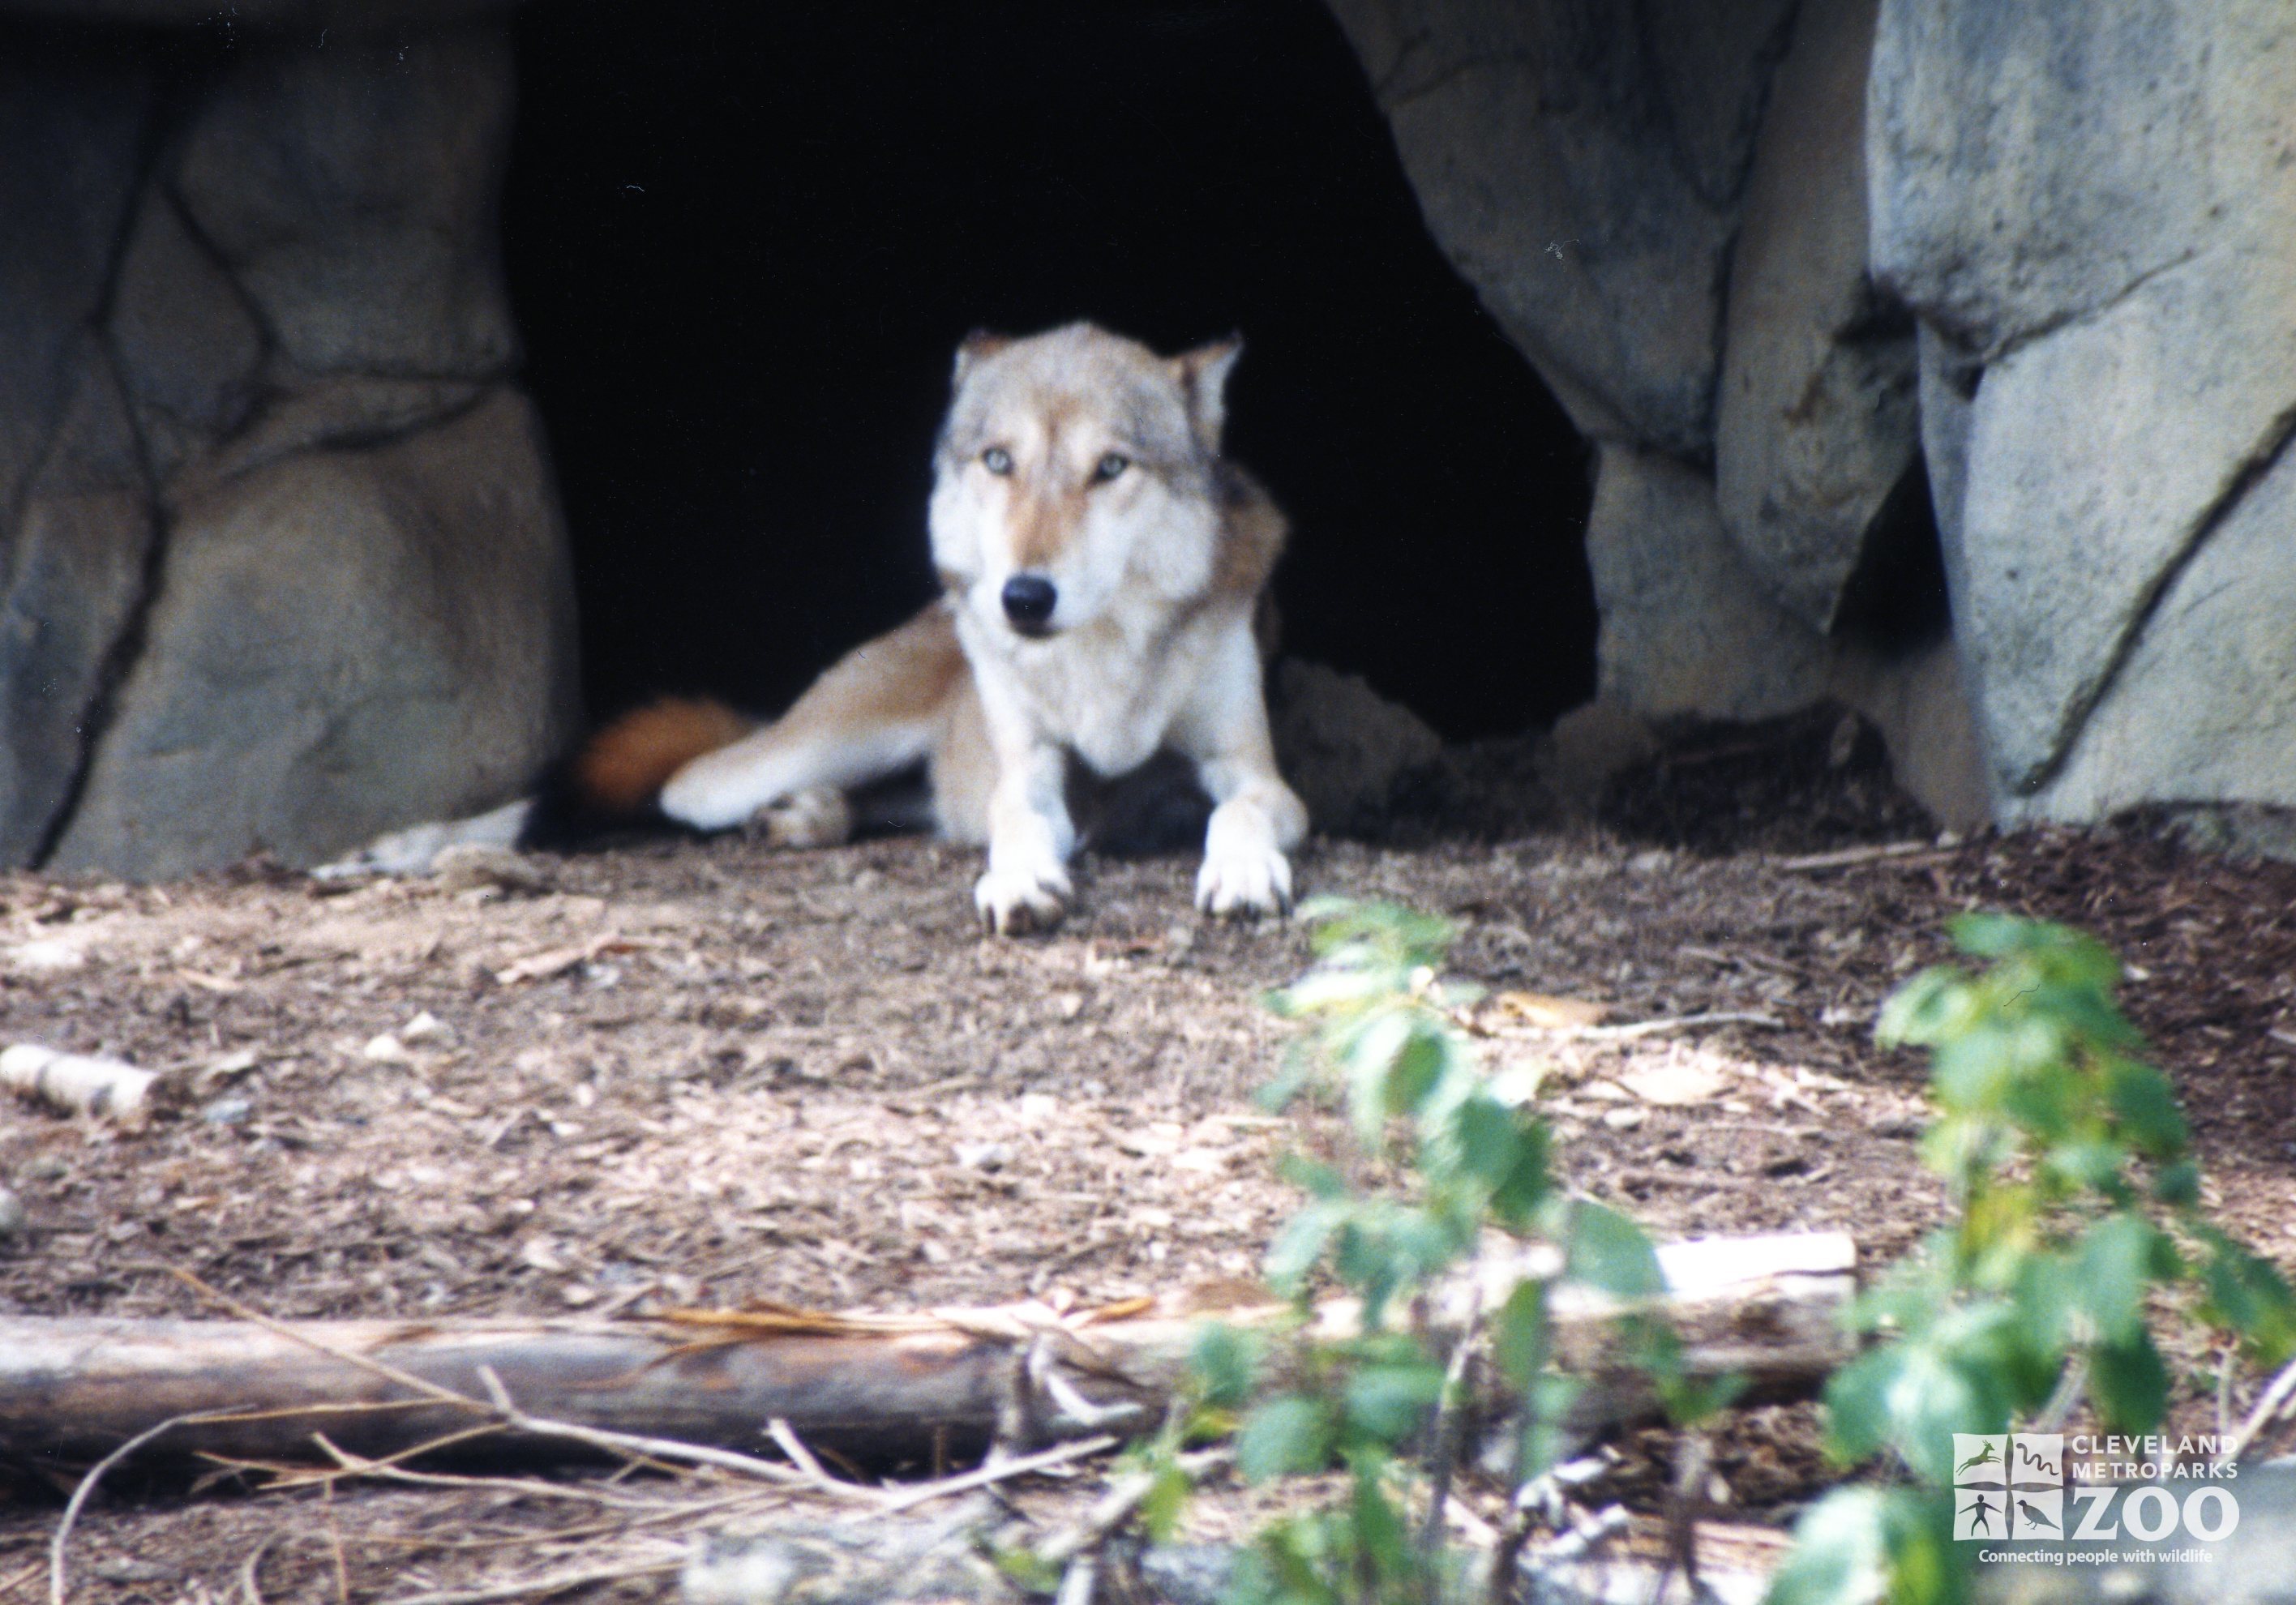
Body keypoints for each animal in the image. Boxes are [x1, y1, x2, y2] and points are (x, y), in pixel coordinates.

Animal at [546, 321, 1309, 934]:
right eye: (999, 460)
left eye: (1111, 466)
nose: (1024, 597)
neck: (1098, 665)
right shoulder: (1026, 769)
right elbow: (1016, 821)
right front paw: (1019, 880)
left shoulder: (1255, 775)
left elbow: (1233, 813)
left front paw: (1242, 872)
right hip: (794, 756)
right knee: (688, 785)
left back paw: (811, 816)